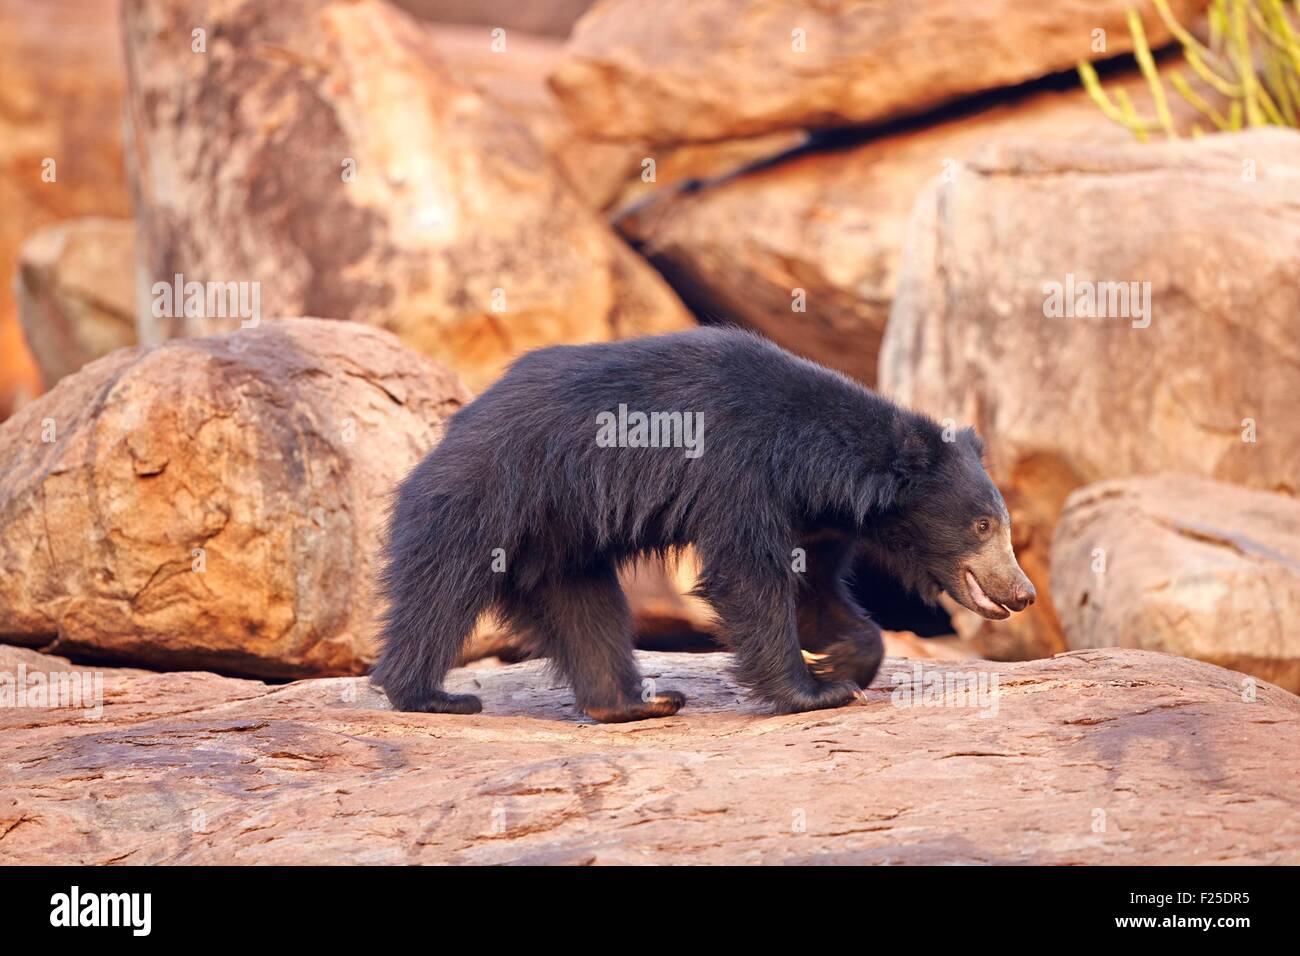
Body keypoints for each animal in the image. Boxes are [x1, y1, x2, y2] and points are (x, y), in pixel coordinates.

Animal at [371, 328, 1035, 722]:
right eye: (982, 526)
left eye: (1000, 524)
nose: (1023, 592)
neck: (817, 465)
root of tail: (454, 427)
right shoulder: (739, 471)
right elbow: (748, 579)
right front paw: (816, 691)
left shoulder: (816, 523)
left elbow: (813, 591)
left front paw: (845, 660)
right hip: (488, 497)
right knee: (440, 590)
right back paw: (431, 694)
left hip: (559, 539)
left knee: (585, 612)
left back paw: (636, 703)